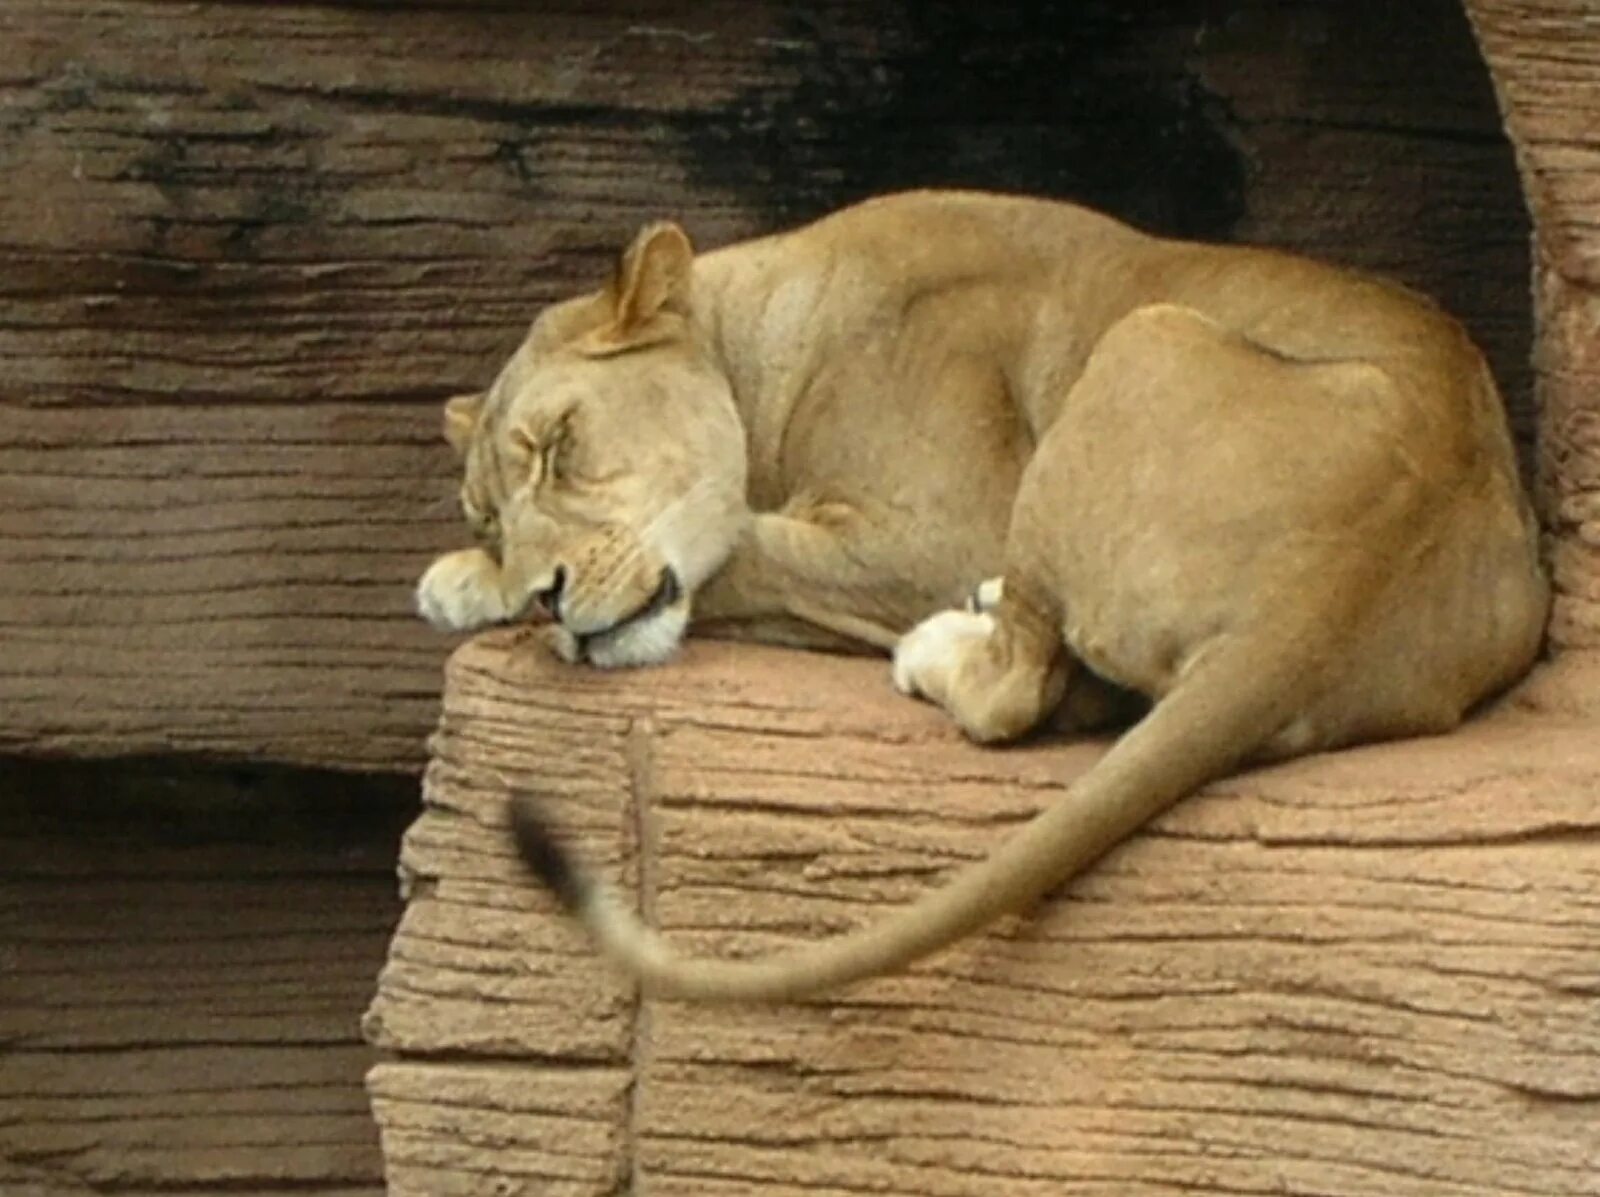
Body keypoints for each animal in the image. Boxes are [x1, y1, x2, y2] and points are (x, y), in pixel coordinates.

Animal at [417, 190, 1548, 1002]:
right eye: (489, 512)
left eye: (560, 444)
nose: (548, 598)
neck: (757, 339)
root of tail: (1325, 583)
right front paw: (475, 580)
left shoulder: (936, 528)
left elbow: (734, 541)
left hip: (1144, 333)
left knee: (1014, 694)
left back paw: (938, 642)